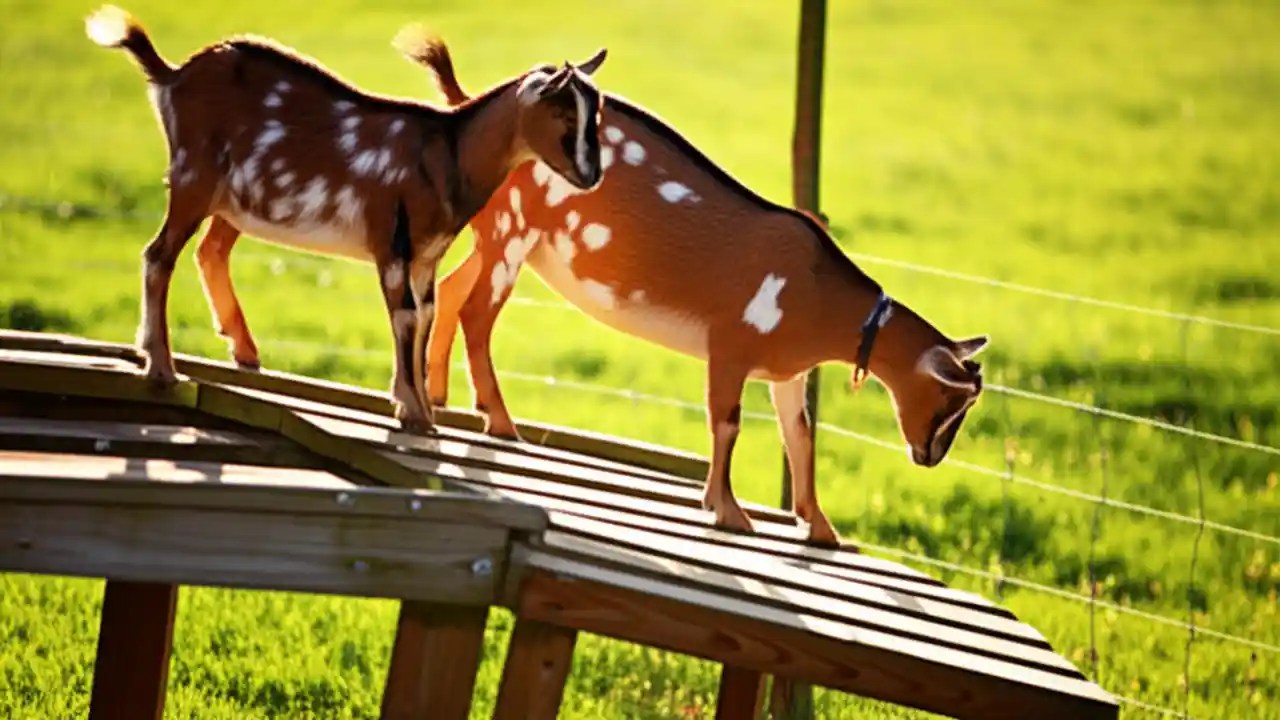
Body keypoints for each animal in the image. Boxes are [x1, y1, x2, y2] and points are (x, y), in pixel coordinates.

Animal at [85, 7, 607, 431]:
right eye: (565, 115)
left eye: (596, 114)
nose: (592, 175)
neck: (447, 151)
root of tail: (171, 76)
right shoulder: (391, 240)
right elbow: (405, 315)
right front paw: (413, 414)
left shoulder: (425, 254)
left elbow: (427, 314)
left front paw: (420, 409)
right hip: (193, 178)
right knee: (158, 256)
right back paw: (161, 368)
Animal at [412, 38, 989, 546]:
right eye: (951, 399)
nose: (929, 456)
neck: (818, 295)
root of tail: (467, 106)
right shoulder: (730, 346)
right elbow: (727, 423)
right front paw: (727, 511)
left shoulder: (788, 373)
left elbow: (800, 436)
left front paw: (821, 529)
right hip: (514, 230)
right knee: (478, 314)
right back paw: (501, 422)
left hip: (498, 236)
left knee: (451, 289)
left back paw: (437, 397)